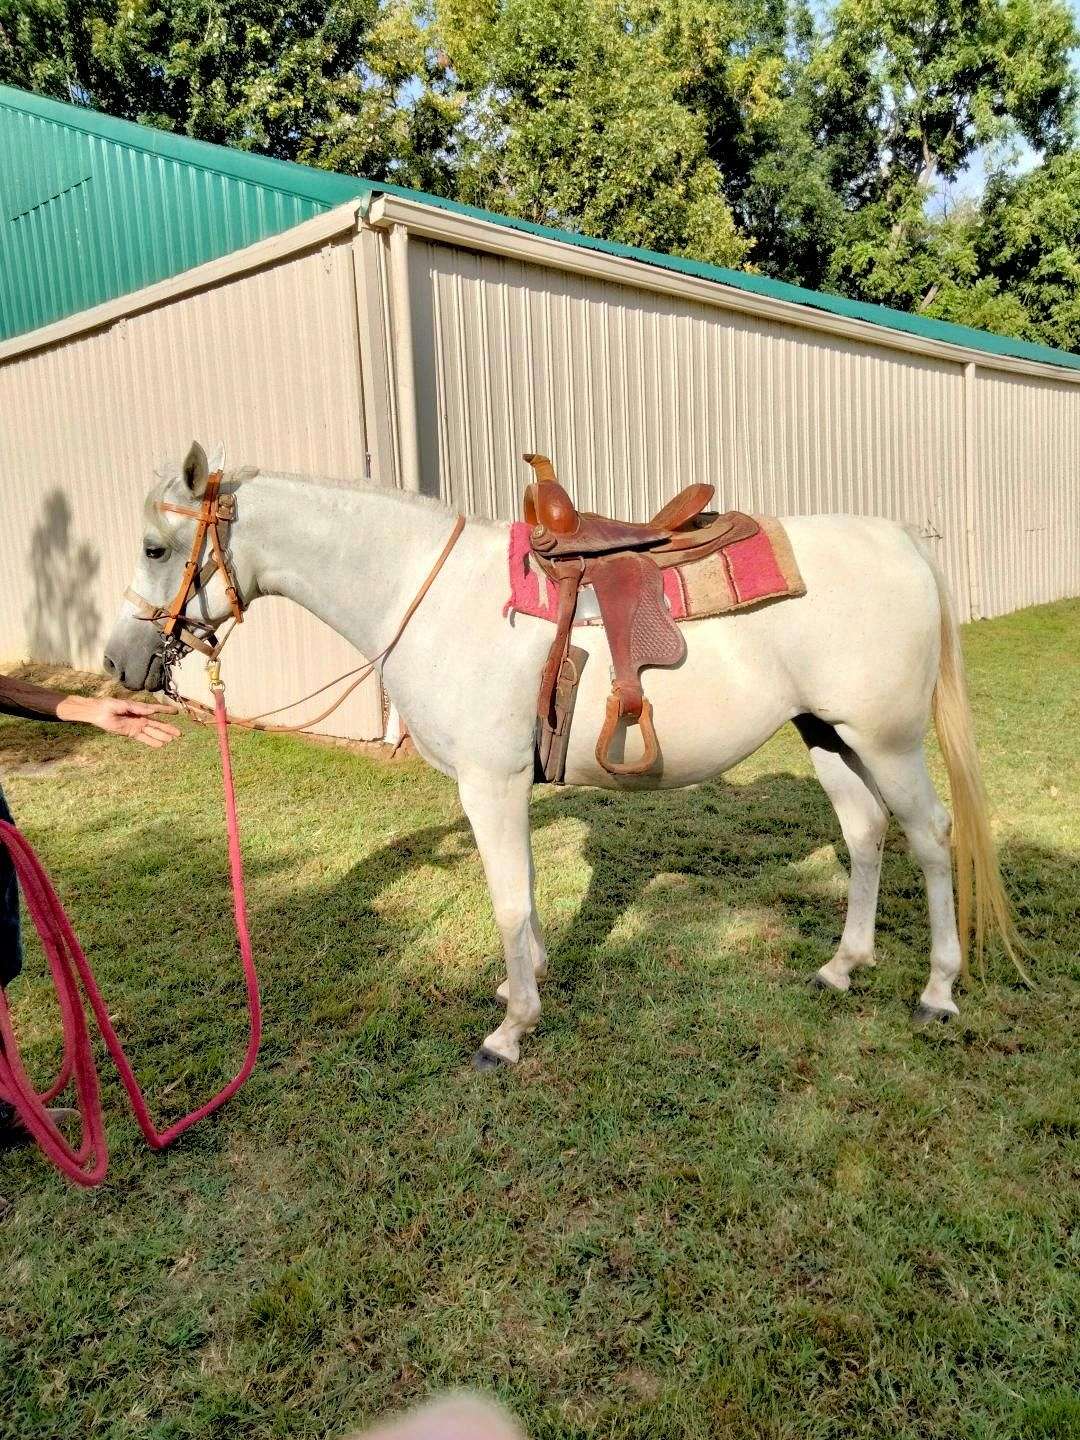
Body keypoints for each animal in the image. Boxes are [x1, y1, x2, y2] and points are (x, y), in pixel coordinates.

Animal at [104, 441, 1018, 1068]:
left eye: (154, 548)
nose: (118, 663)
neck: (428, 595)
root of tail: (901, 543)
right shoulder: (507, 785)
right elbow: (528, 894)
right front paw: (525, 984)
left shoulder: (490, 783)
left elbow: (508, 899)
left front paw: (510, 1030)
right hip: (828, 734)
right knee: (866, 834)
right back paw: (842, 967)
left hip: (887, 740)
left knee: (931, 838)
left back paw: (938, 990)